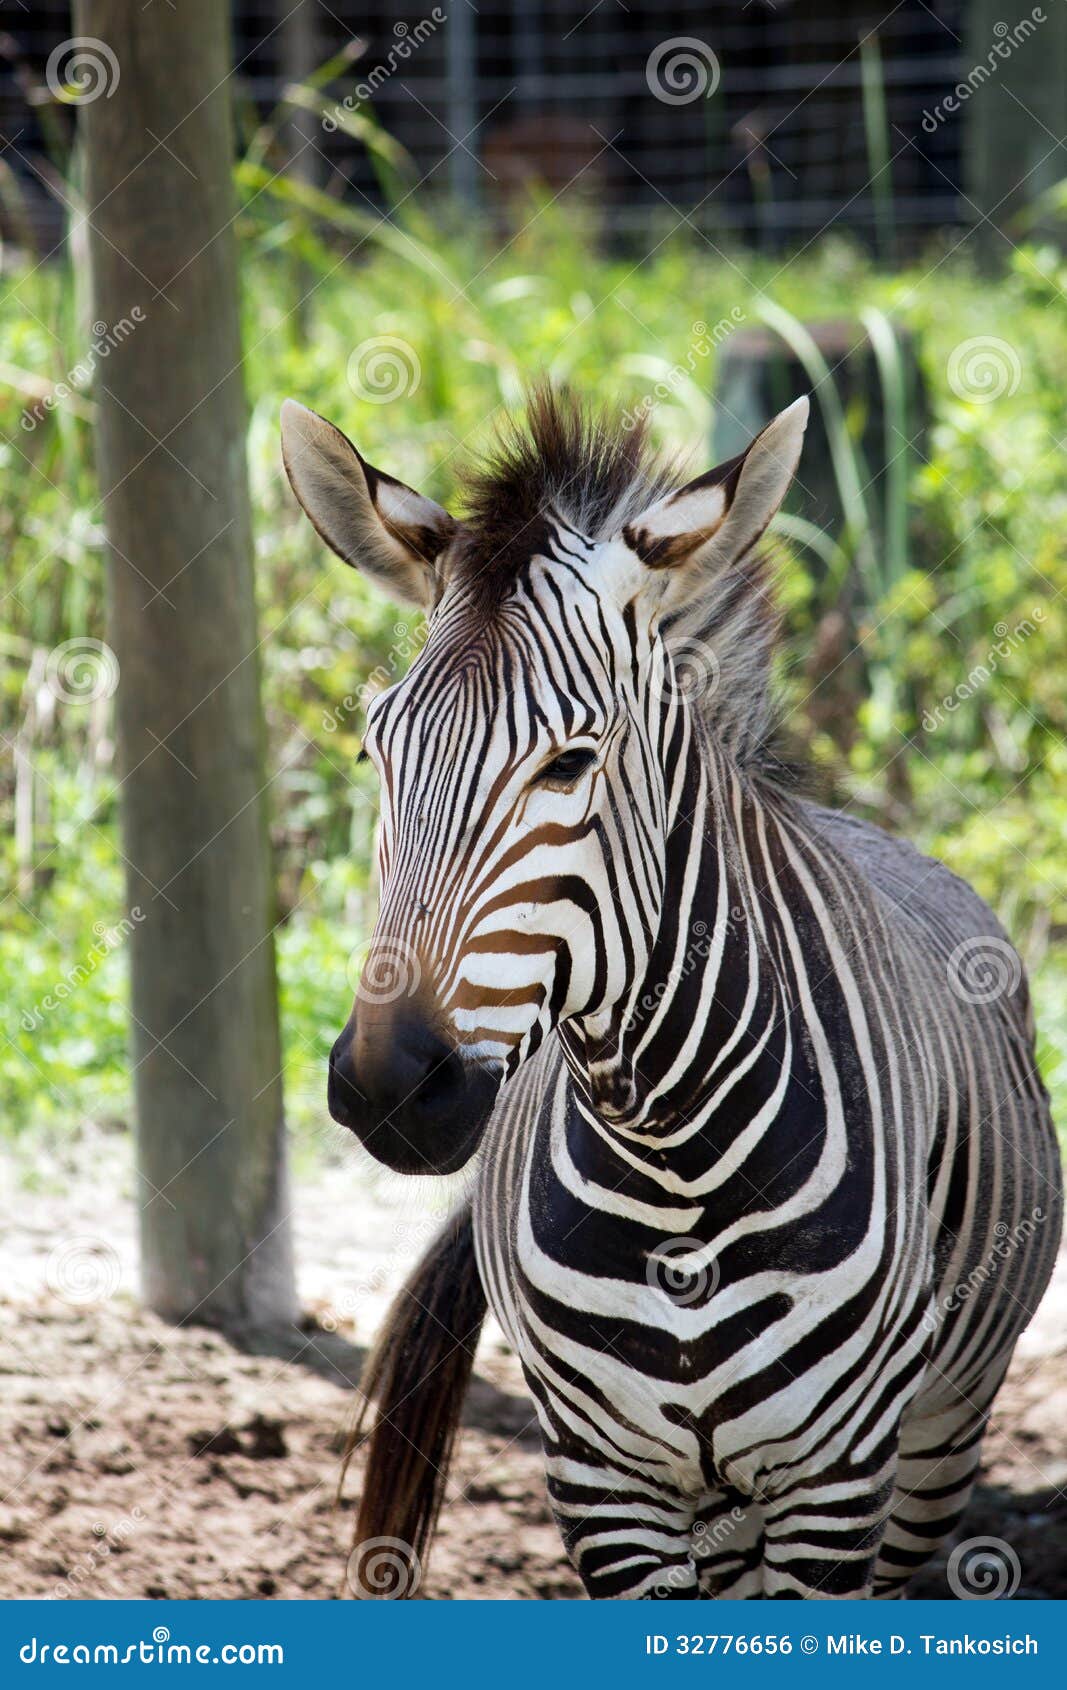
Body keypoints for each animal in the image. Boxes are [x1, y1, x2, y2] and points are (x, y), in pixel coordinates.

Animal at [281, 386, 1062, 1600]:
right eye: (376, 754)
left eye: (570, 762)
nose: (388, 1087)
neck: (672, 1164)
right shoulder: (602, 1485)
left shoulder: (833, 1484)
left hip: (933, 1448)